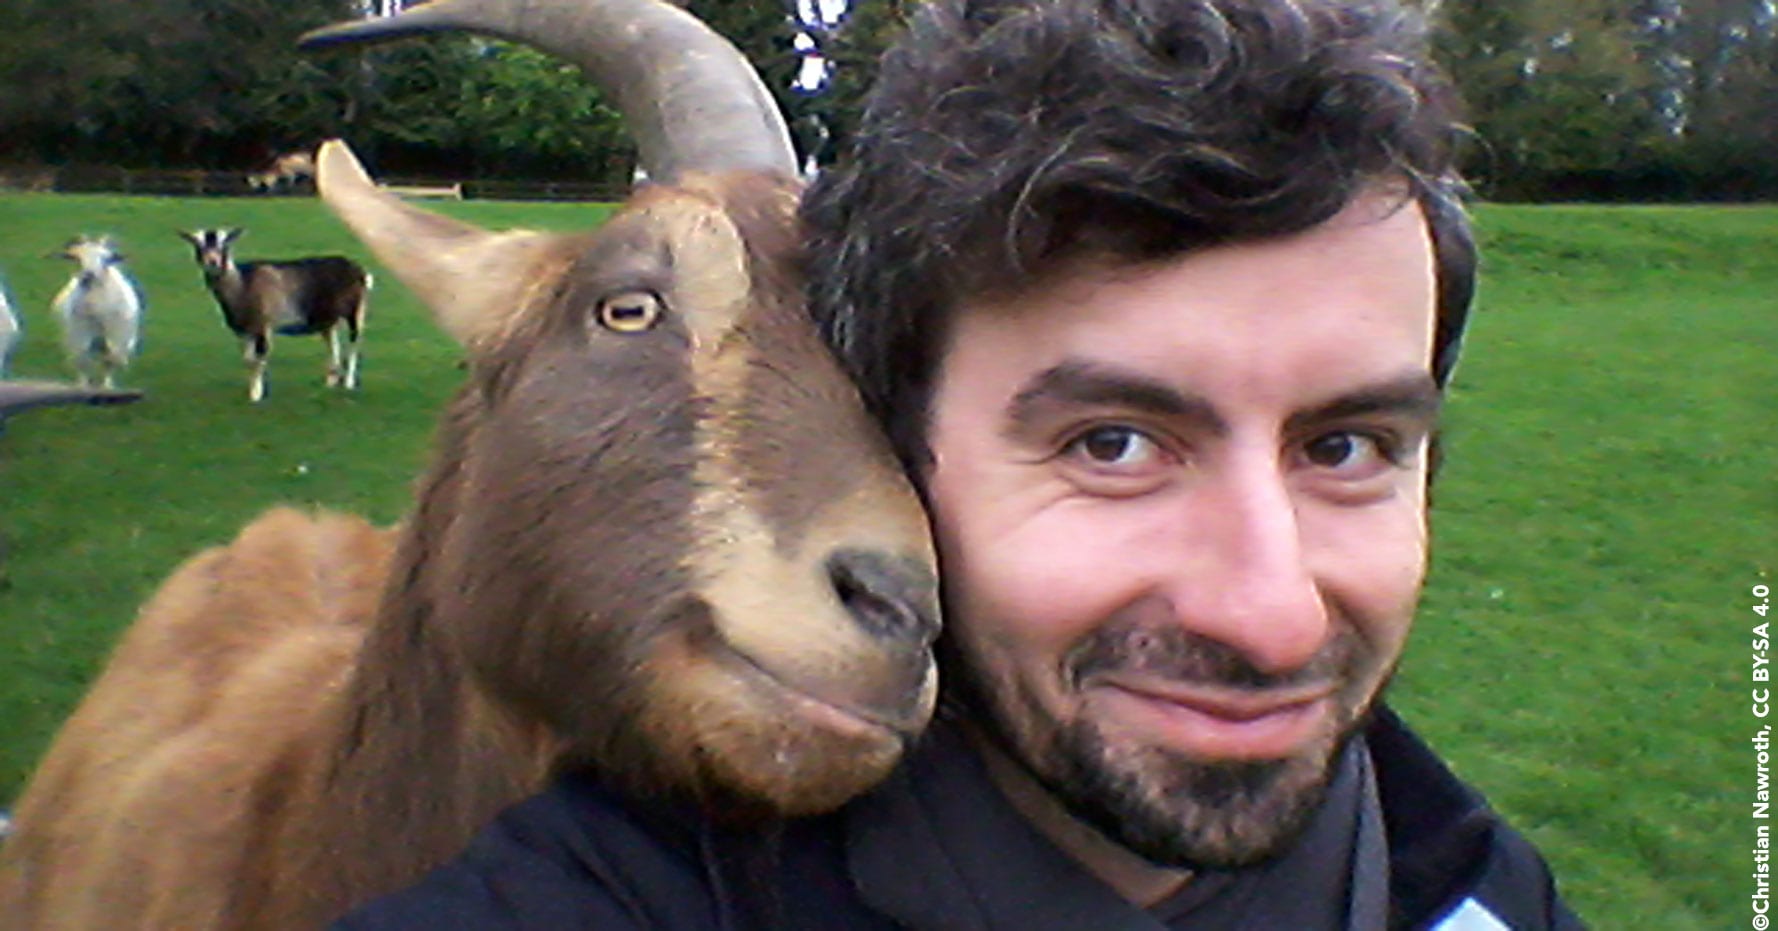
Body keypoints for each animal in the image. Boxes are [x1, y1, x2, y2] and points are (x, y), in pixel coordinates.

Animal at [50, 237, 143, 389]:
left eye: (106, 259)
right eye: (77, 258)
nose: (88, 275)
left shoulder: (118, 339)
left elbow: (111, 360)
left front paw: (106, 386)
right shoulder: (79, 336)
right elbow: (83, 361)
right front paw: (84, 385)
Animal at [178, 227, 370, 402]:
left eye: (224, 245)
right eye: (198, 245)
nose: (213, 262)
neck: (242, 286)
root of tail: (359, 271)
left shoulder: (263, 325)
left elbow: (260, 358)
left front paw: (257, 395)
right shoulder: (243, 331)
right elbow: (248, 360)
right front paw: (253, 391)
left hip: (355, 310)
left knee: (354, 343)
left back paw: (349, 383)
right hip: (328, 318)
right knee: (333, 344)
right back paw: (331, 381)